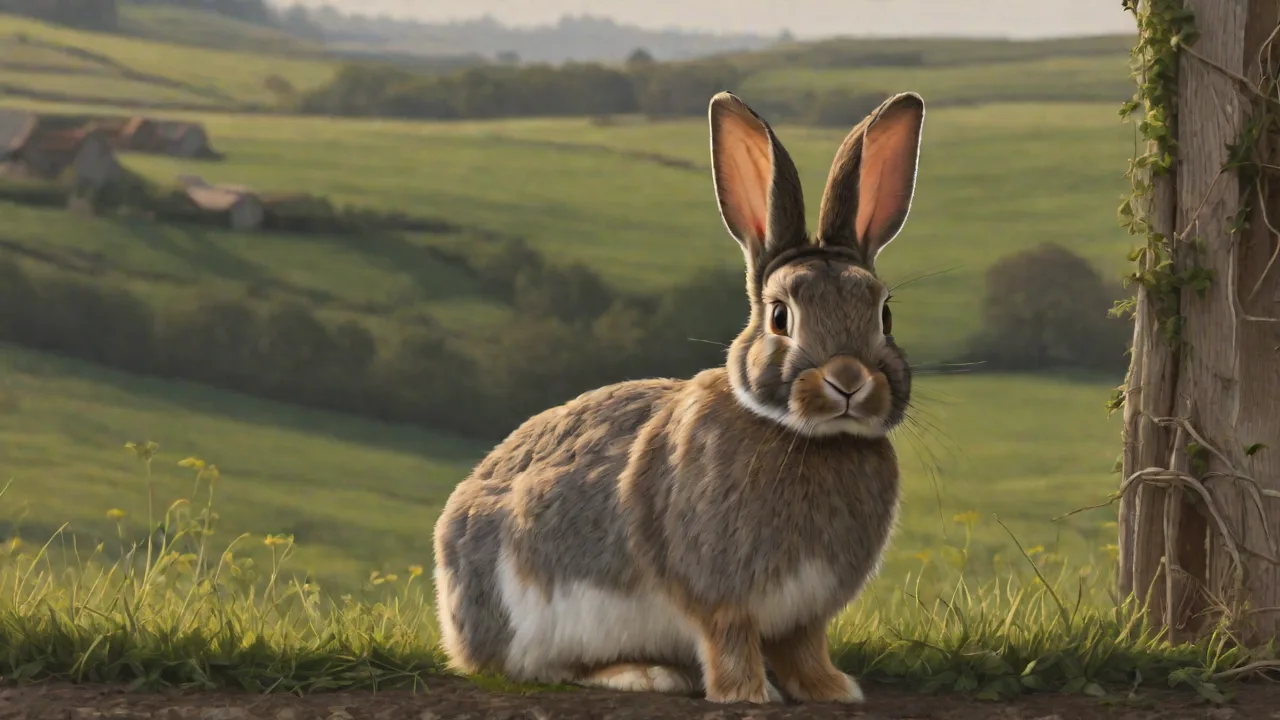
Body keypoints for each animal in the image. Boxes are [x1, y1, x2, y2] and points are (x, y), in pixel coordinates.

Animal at [432, 89, 925, 705]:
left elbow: (804, 648)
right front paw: (748, 694)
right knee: (545, 668)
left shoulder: (805, 614)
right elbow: (729, 639)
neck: (807, 437)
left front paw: (831, 690)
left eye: (884, 314)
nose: (849, 379)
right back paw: (645, 674)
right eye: (780, 317)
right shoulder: (719, 594)